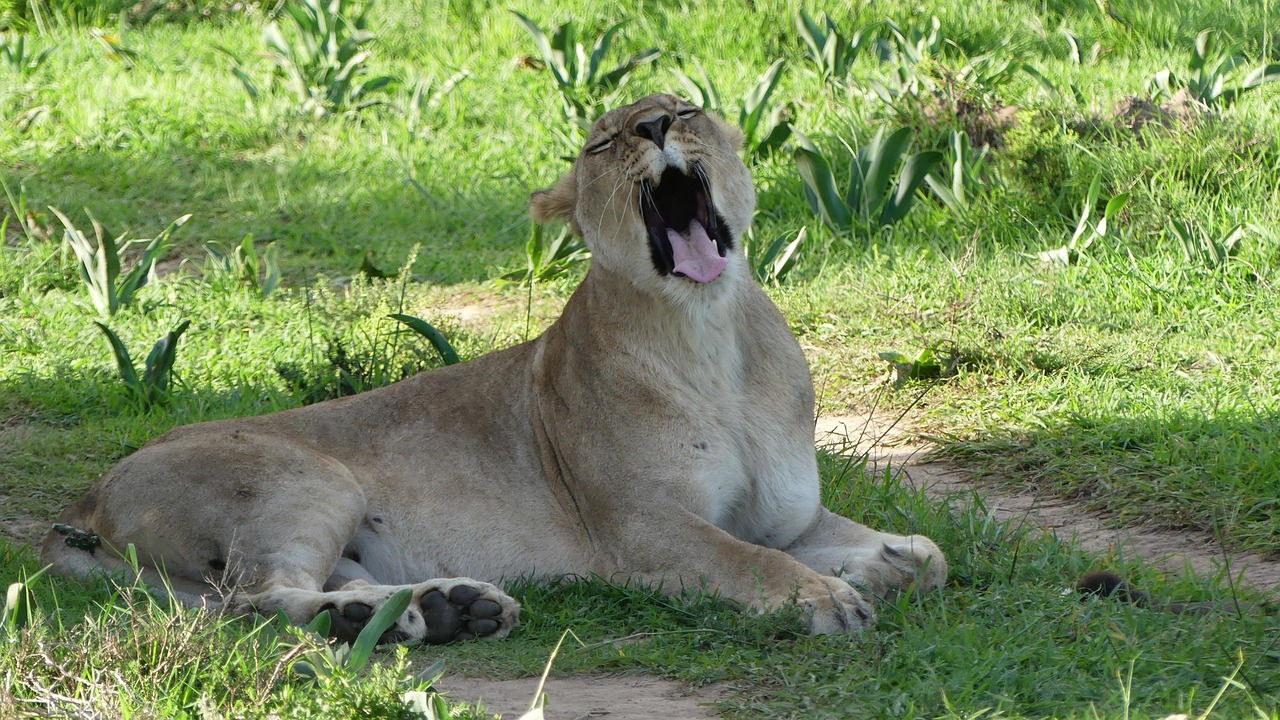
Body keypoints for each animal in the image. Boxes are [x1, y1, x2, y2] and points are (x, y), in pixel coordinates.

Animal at [42, 94, 947, 644]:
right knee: (254, 595)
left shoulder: (786, 515)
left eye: (685, 109)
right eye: (605, 141)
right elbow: (748, 561)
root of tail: (85, 495)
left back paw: (448, 607)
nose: (655, 127)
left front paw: (887, 561)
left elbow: (920, 552)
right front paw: (826, 597)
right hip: (309, 478)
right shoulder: (643, 529)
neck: (713, 336)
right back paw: (375, 620)